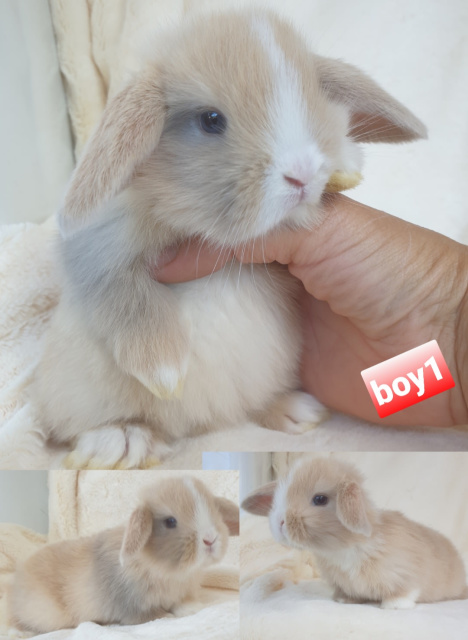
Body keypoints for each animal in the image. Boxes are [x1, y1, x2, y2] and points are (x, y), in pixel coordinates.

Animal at [7, 476, 239, 633]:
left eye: (215, 511)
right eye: (170, 521)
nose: (210, 539)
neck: (165, 570)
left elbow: (184, 604)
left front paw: (192, 609)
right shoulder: (132, 606)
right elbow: (151, 616)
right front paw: (167, 615)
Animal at [31, 8, 427, 469]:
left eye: (311, 98)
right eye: (210, 120)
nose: (302, 174)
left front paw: (345, 167)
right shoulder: (99, 256)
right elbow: (128, 299)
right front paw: (166, 372)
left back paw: (296, 411)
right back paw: (122, 442)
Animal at [242, 456, 468, 608]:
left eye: (320, 499)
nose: (280, 522)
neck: (343, 548)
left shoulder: (406, 574)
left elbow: (407, 590)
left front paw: (393, 605)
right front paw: (344, 600)